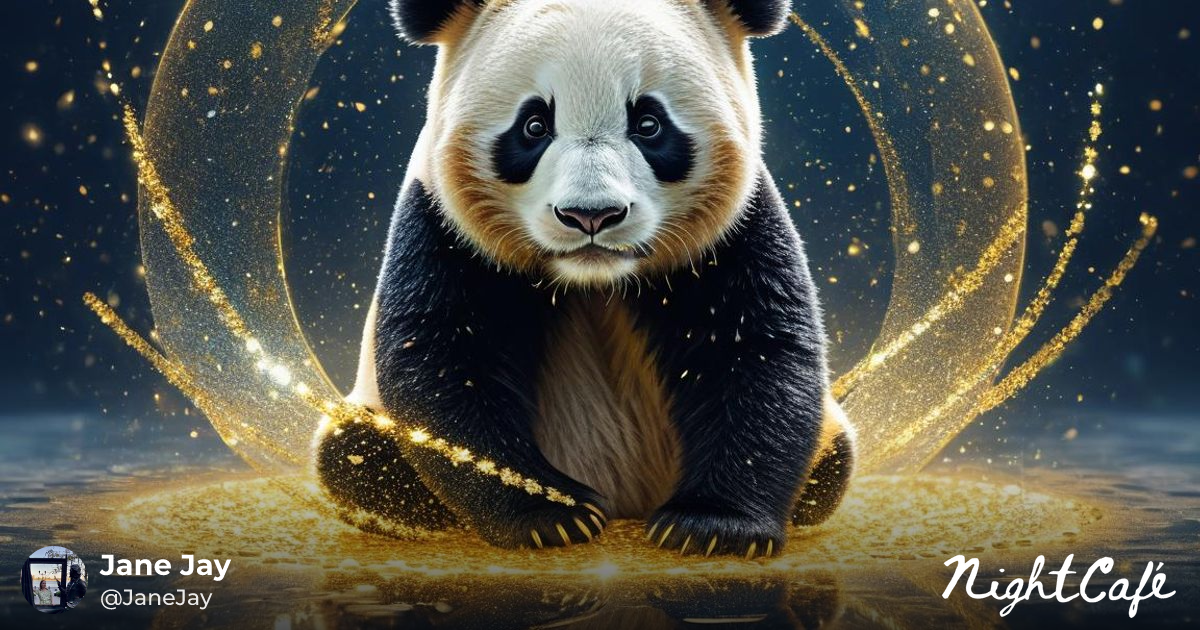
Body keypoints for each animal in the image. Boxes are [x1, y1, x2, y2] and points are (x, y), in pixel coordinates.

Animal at [315, 0, 855, 558]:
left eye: (648, 123)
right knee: (355, 454)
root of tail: (629, 501)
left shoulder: (734, 231)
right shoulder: (443, 224)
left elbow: (756, 348)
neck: (594, 280)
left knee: (832, 462)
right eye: (533, 125)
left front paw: (714, 527)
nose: (591, 215)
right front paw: (553, 515)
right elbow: (443, 356)